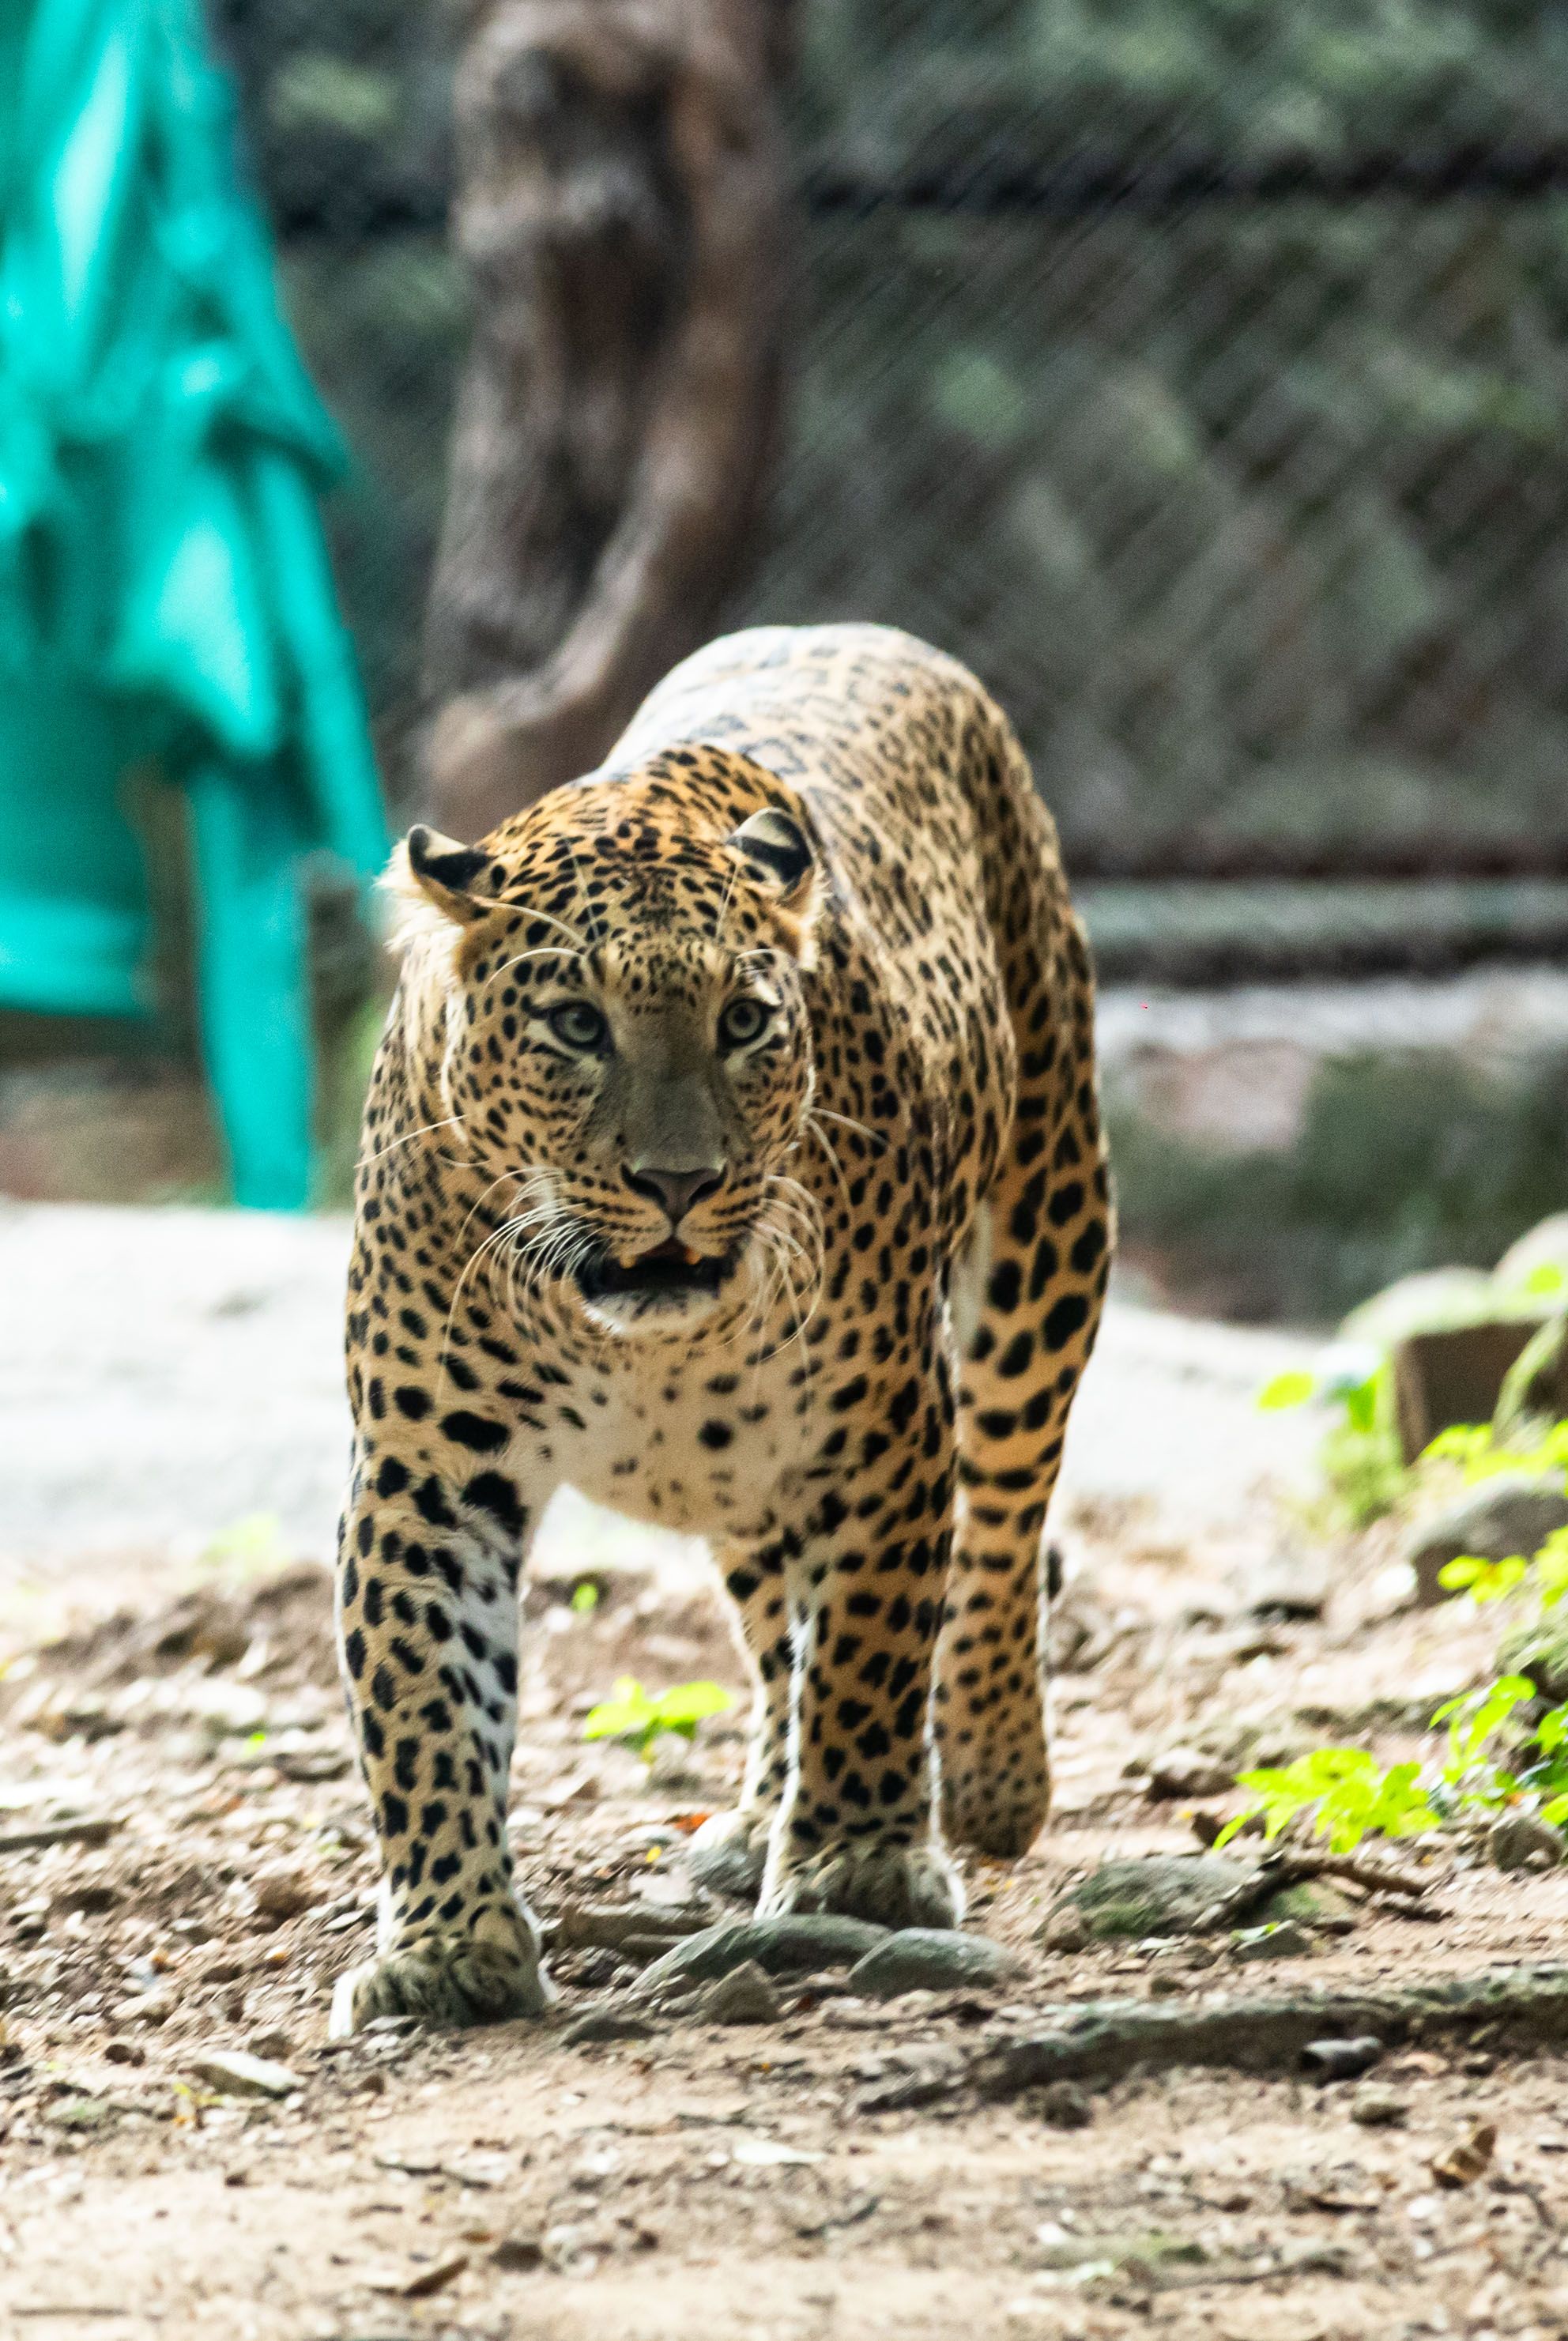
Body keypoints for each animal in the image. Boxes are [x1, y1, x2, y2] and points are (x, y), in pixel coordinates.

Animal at [331, 622, 1111, 2033]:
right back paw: (755, 1818)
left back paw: (983, 1769)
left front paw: (860, 1863)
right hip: (745, 1474)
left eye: (744, 1021)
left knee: (1002, 1520)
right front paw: (448, 1942)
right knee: (774, 1621)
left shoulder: (883, 1420)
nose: (679, 1182)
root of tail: (857, 628)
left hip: (1047, 1233)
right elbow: (423, 1699)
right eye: (575, 1025)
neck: (632, 1334)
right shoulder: (425, 1463)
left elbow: (870, 1640)